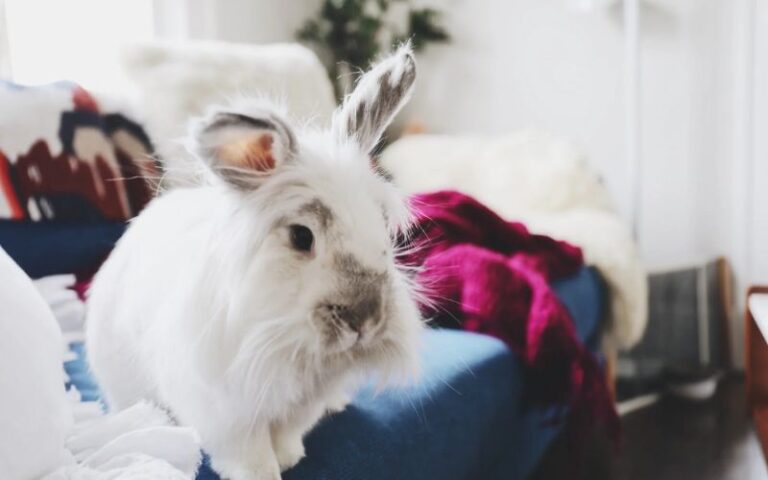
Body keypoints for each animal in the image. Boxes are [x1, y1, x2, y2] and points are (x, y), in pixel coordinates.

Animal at [85, 45, 423, 480]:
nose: (365, 319)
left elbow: (288, 431)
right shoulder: (225, 411)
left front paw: (290, 456)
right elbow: (250, 452)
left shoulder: (303, 401)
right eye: (301, 237)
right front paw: (265, 472)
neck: (283, 337)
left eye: (382, 223)